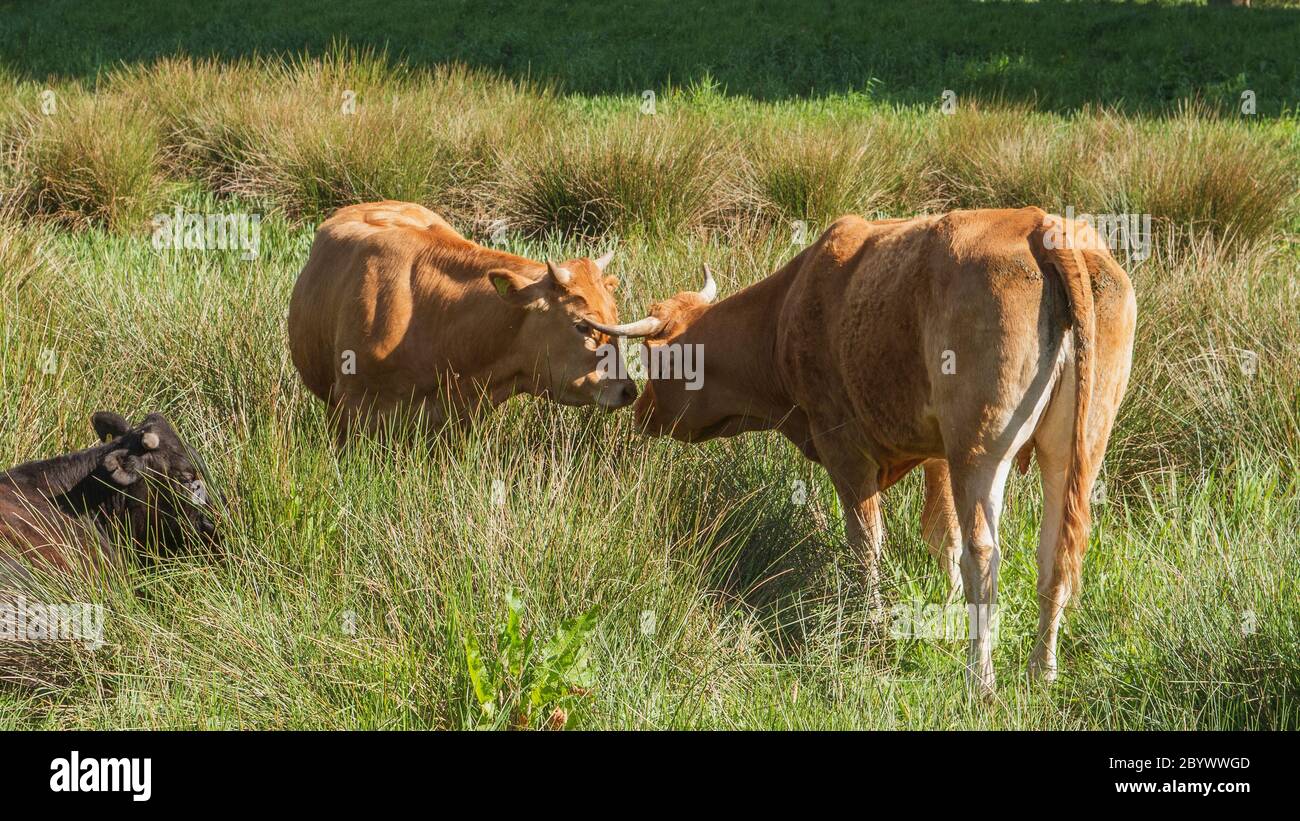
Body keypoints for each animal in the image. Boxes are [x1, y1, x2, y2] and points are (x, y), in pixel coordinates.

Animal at [591, 207, 1136, 698]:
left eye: (658, 361)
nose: (638, 409)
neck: (787, 310)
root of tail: (1042, 226)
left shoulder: (845, 449)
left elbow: (867, 543)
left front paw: (870, 630)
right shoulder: (939, 453)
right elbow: (942, 535)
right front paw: (942, 613)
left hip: (980, 450)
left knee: (984, 554)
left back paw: (979, 680)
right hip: (1074, 448)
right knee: (1055, 553)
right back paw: (1041, 671)